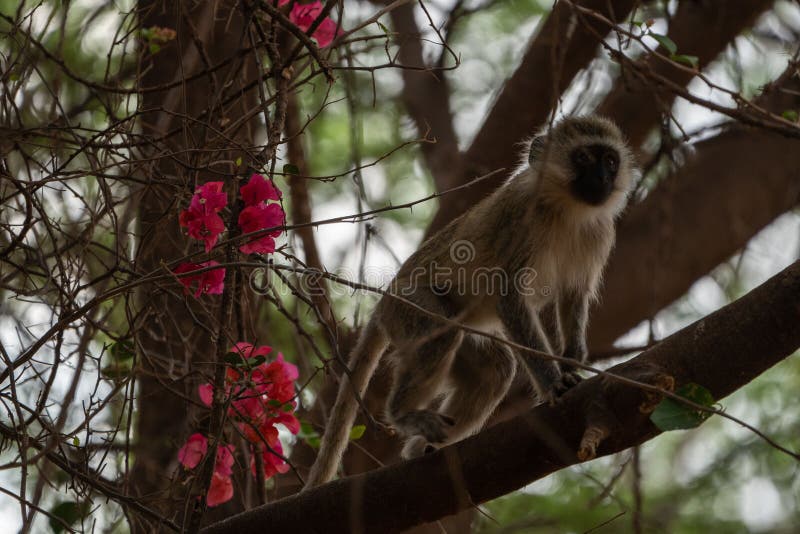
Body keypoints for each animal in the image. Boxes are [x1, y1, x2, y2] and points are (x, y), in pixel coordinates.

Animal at [304, 115, 636, 488]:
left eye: (610, 161)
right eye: (583, 158)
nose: (603, 178)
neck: (568, 209)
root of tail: (385, 302)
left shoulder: (600, 232)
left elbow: (574, 295)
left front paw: (572, 358)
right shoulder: (521, 217)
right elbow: (509, 296)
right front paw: (554, 384)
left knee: (495, 370)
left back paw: (420, 447)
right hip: (409, 309)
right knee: (442, 334)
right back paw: (402, 415)